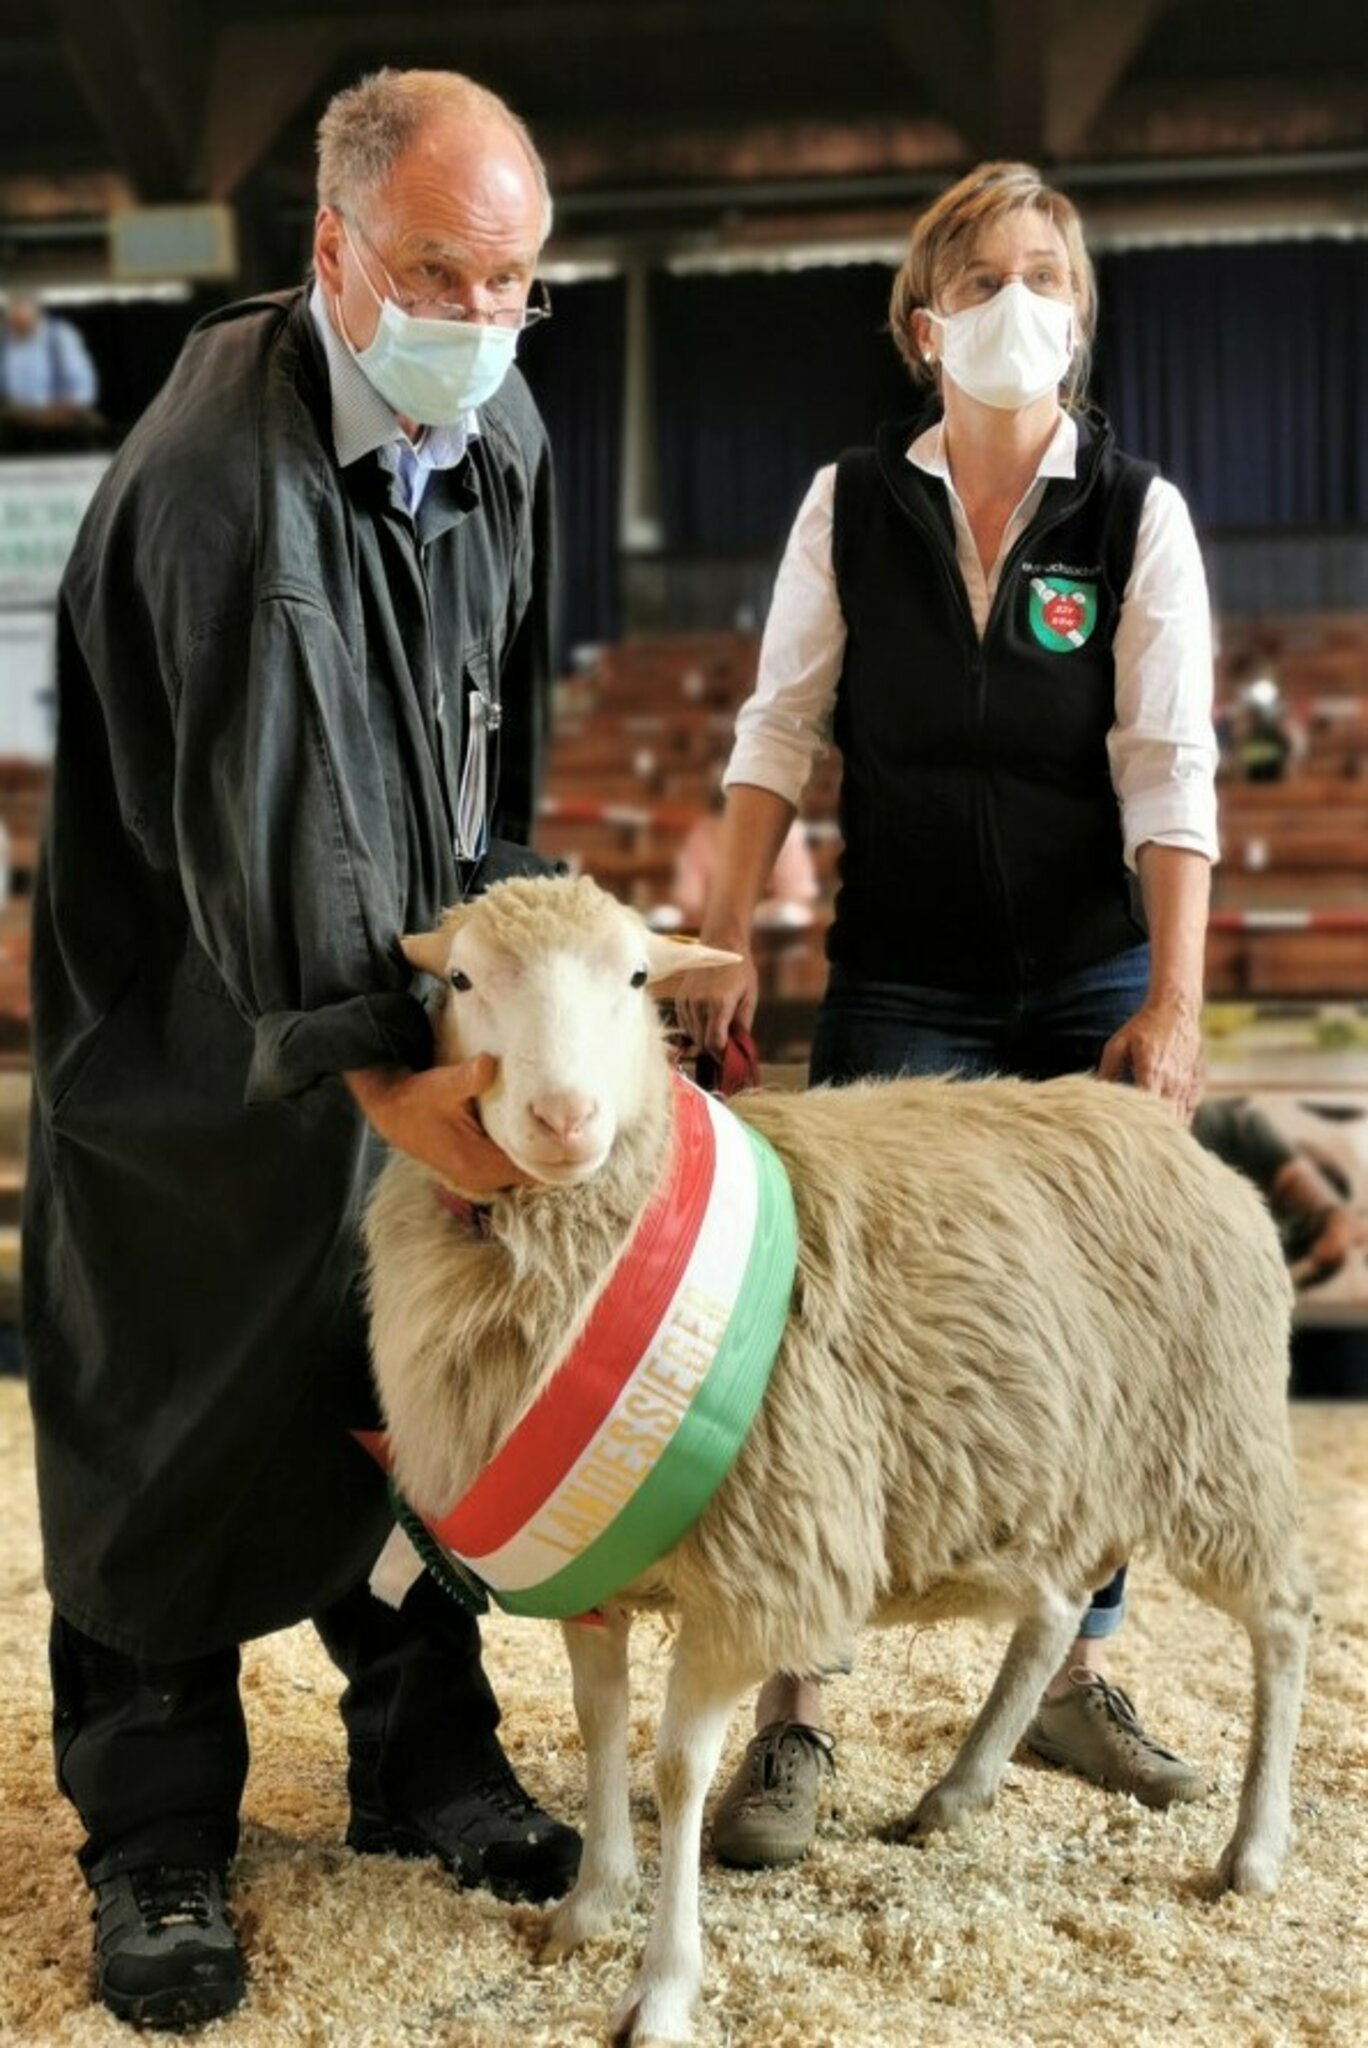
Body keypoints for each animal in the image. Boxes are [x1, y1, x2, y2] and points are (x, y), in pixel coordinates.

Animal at [363, 872, 1313, 2048]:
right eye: (460, 978)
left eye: (636, 976)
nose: (565, 1119)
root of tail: (1164, 1127)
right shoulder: (583, 1562)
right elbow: (600, 1728)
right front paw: (589, 1906)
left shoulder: (755, 1570)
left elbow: (677, 1766)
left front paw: (663, 1985)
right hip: (1049, 1463)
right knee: (1053, 1610)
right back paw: (958, 1793)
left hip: (1219, 1441)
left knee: (1282, 1620)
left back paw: (1255, 1849)